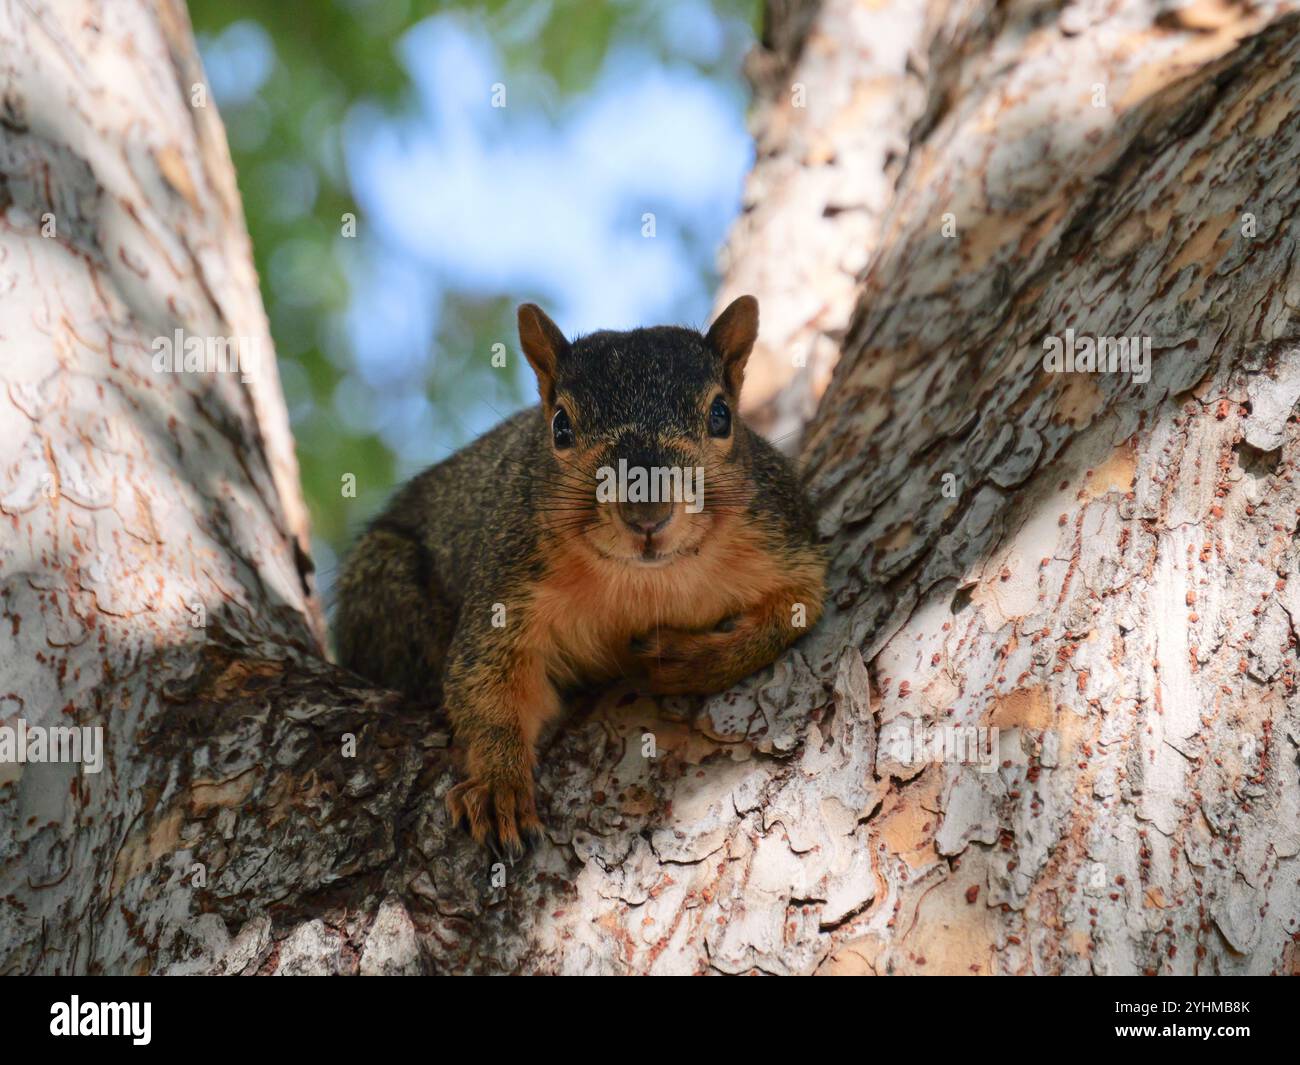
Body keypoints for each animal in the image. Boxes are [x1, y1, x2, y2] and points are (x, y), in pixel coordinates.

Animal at [333, 296, 826, 857]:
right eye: (560, 426)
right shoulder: (508, 587)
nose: (647, 513)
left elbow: (796, 612)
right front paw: (499, 785)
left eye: (721, 415)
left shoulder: (783, 539)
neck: (644, 580)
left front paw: (690, 660)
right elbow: (485, 684)